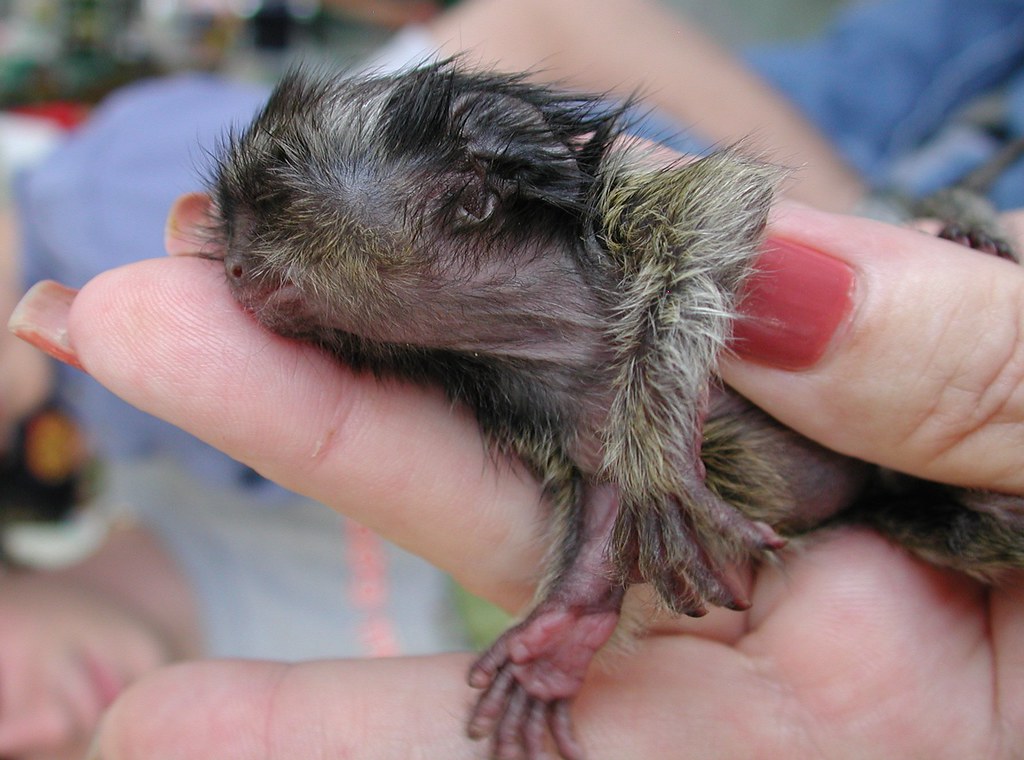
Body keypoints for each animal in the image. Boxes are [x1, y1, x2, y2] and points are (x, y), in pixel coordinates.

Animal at [200, 61, 1024, 760]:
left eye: (273, 197)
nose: (235, 268)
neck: (548, 319)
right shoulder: (566, 407)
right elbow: (603, 504)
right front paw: (564, 634)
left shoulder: (639, 221)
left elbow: (721, 209)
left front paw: (658, 454)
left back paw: (970, 234)